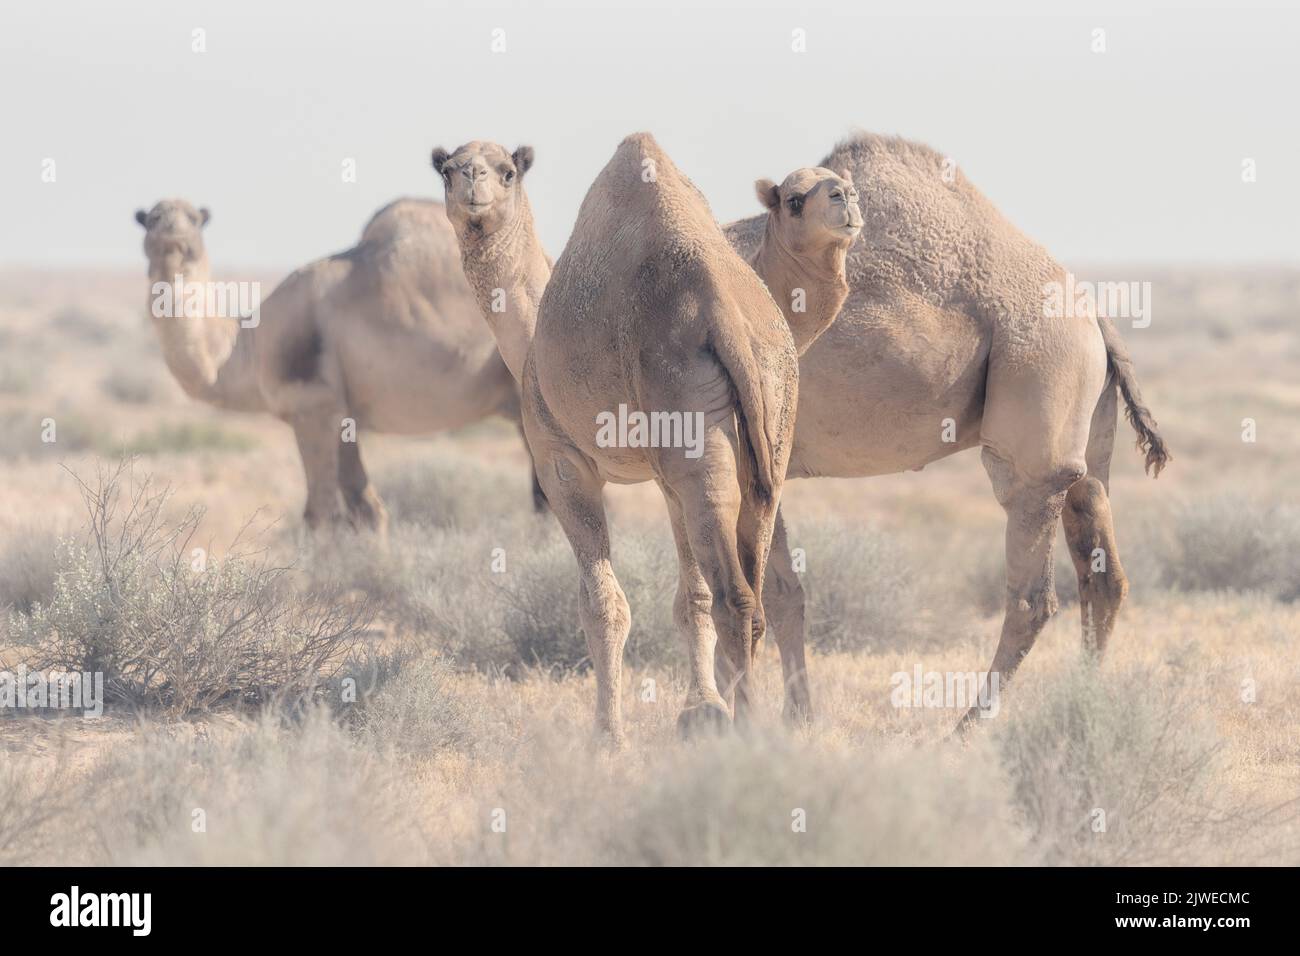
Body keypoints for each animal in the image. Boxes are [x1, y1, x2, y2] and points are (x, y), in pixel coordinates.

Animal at [134, 197, 543, 533]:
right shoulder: (341, 413)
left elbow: (321, 515)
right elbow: (367, 509)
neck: (246, 346)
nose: (172, 237)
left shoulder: (311, 407)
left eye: (193, 221)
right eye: (151, 220)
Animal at [433, 134, 861, 743]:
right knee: (755, 588)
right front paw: (698, 710)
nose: (472, 182)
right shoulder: (667, 472)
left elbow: (604, 605)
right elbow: (689, 598)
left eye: (507, 171)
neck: (531, 340)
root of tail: (723, 309)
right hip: (769, 421)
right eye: (446, 170)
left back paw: (746, 732)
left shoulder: (561, 460)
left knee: (735, 595)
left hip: (687, 416)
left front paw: (609, 737)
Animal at [723, 132, 1170, 726]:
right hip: (1088, 444)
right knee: (1102, 569)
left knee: (1032, 594)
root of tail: (1091, 310)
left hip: (1034, 417)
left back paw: (966, 726)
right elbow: (778, 592)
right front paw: (795, 718)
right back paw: (1083, 704)